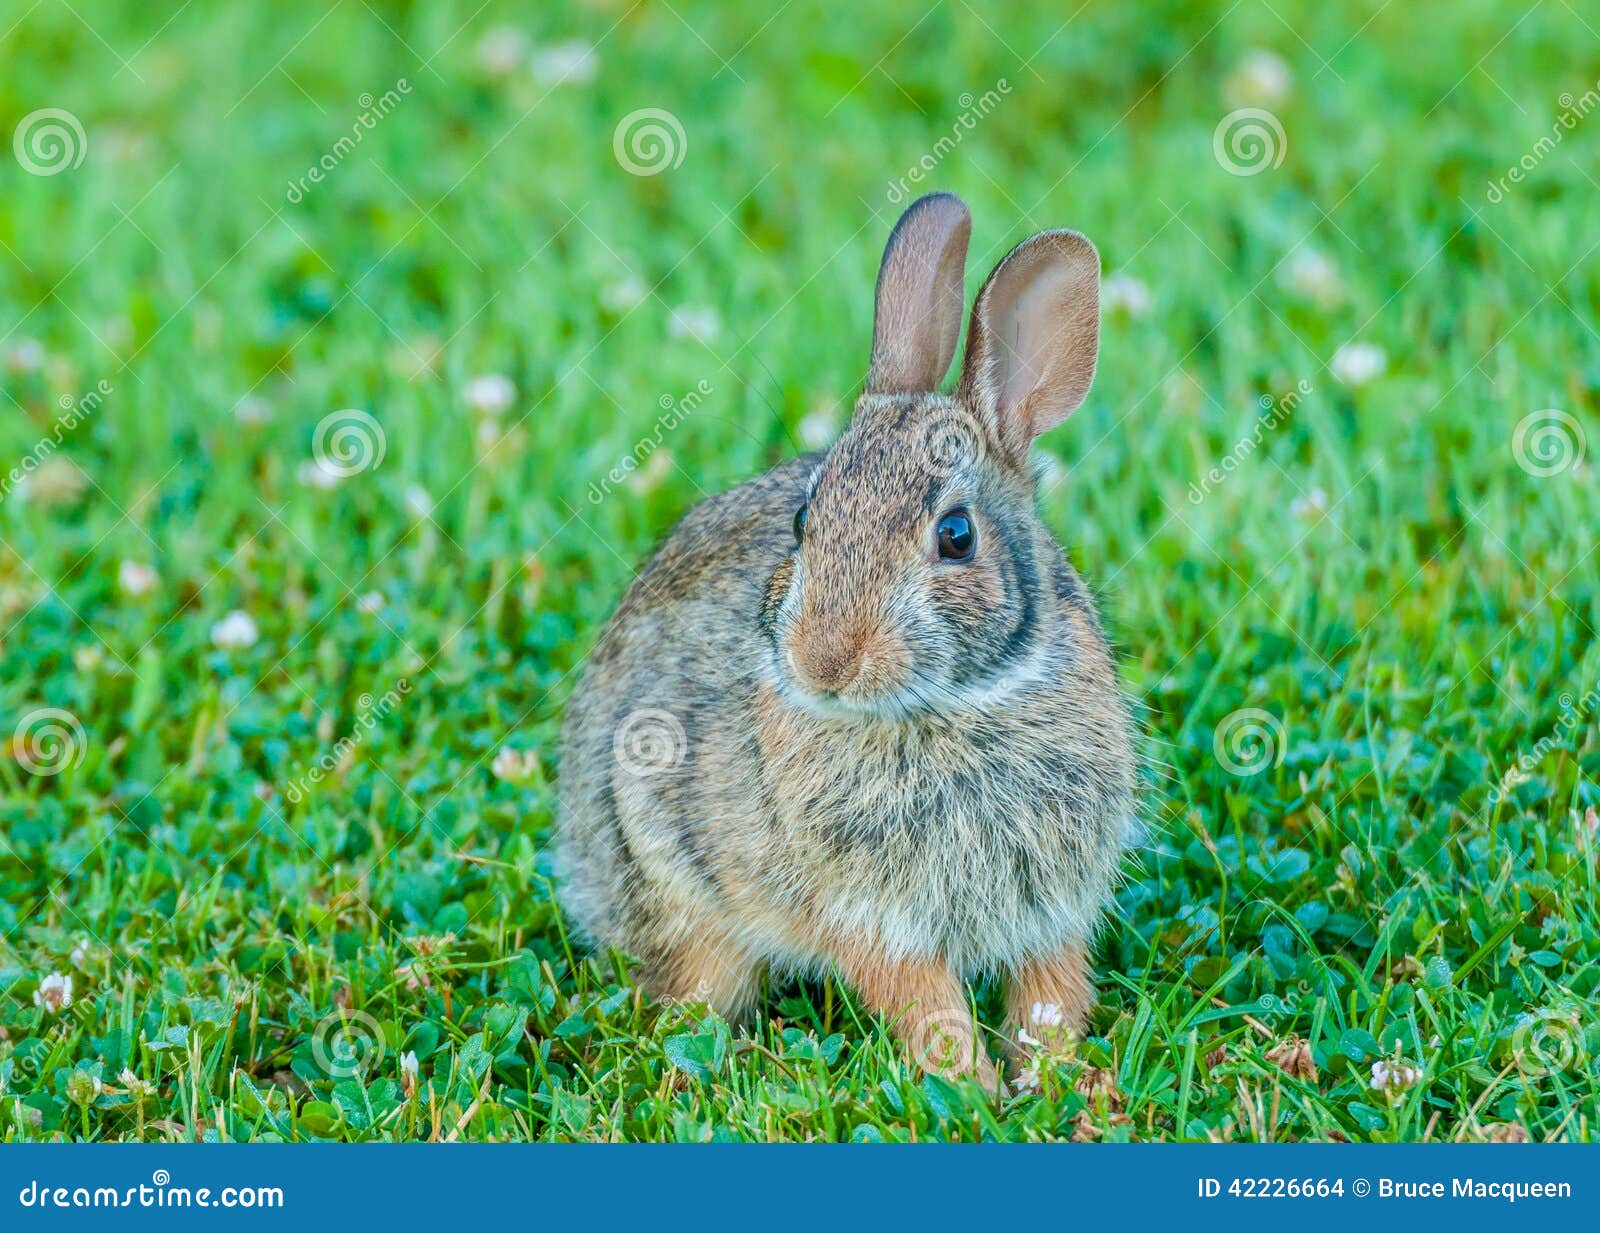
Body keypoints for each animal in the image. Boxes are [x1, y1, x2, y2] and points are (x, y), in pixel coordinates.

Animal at [556, 192, 1138, 1092]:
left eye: (957, 536)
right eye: (805, 520)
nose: (823, 661)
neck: (953, 707)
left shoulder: (1055, 899)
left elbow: (1049, 994)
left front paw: (1053, 1083)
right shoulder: (867, 913)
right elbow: (924, 1000)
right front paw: (972, 1088)